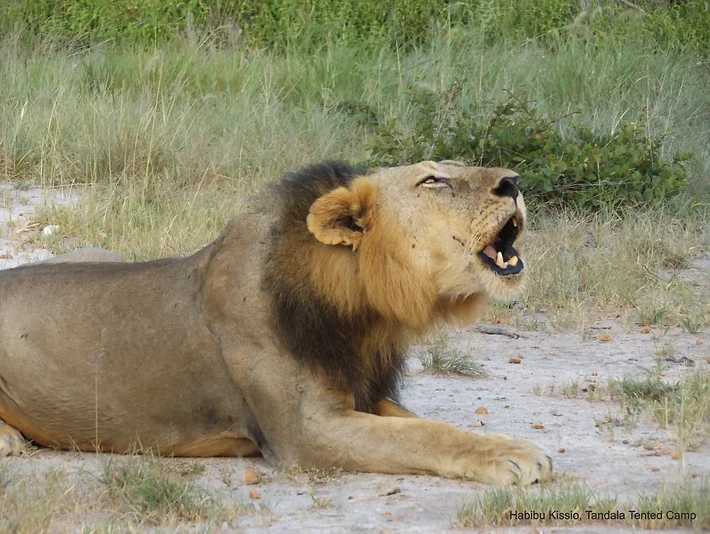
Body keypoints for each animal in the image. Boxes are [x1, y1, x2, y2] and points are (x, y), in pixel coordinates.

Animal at [0, 160, 551, 485]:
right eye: (432, 180)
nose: (514, 182)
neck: (362, 313)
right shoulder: (304, 433)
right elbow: (424, 436)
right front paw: (512, 457)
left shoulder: (361, 393)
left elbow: (426, 425)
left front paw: (507, 445)